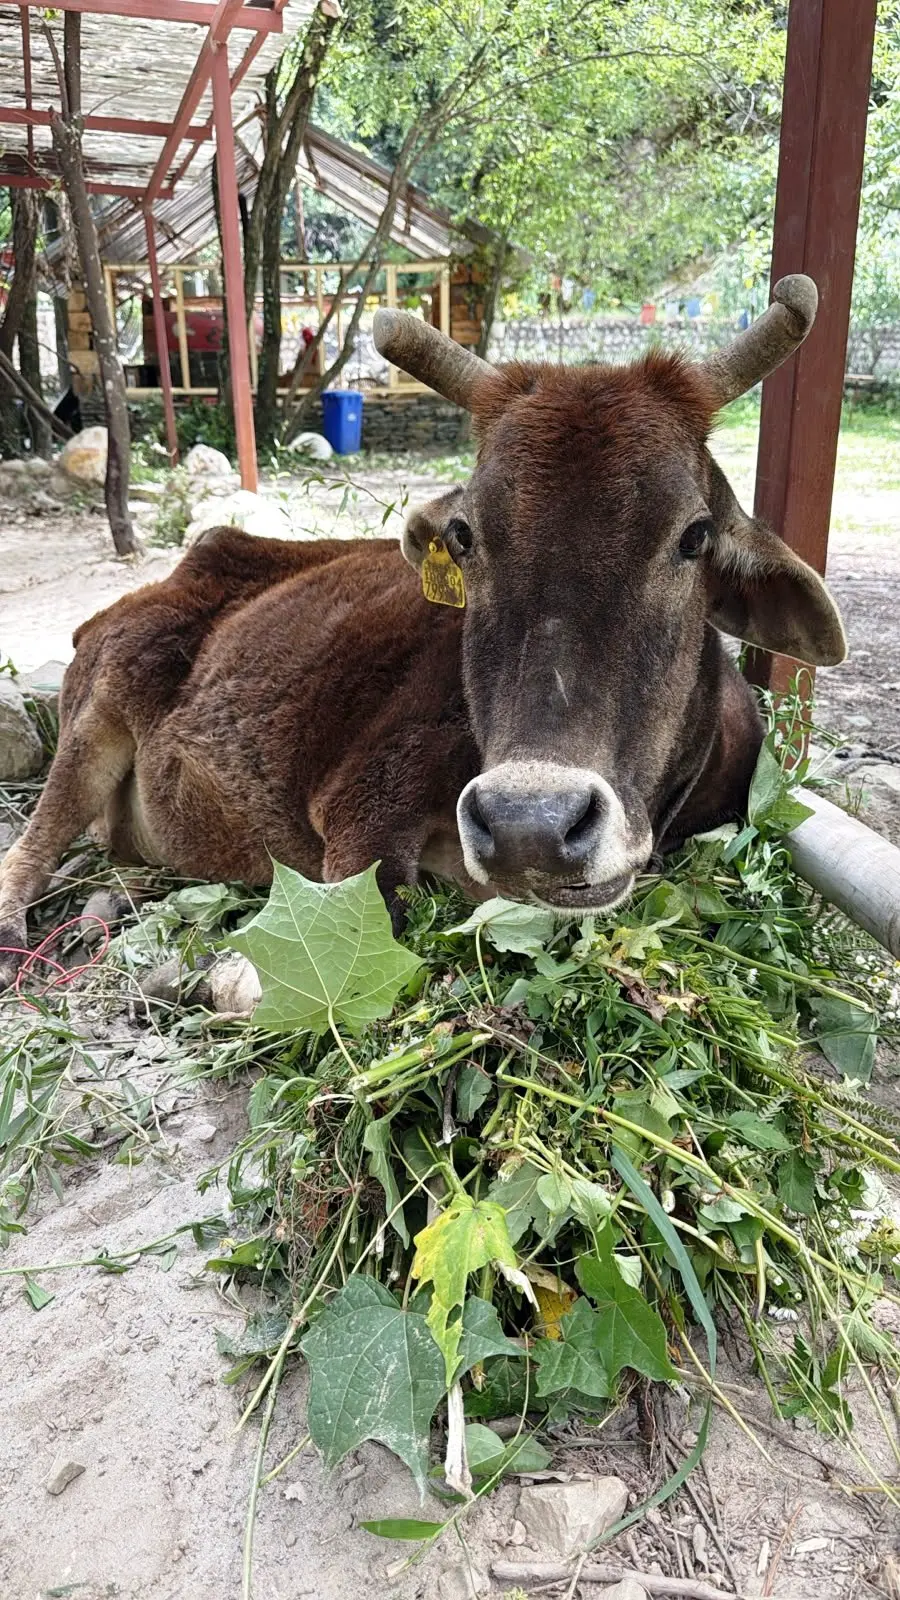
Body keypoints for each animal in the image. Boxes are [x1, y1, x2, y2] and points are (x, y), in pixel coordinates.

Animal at [0, 275, 846, 989]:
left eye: (695, 535)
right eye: (466, 536)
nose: (530, 827)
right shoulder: (361, 816)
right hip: (95, 719)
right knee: (27, 852)